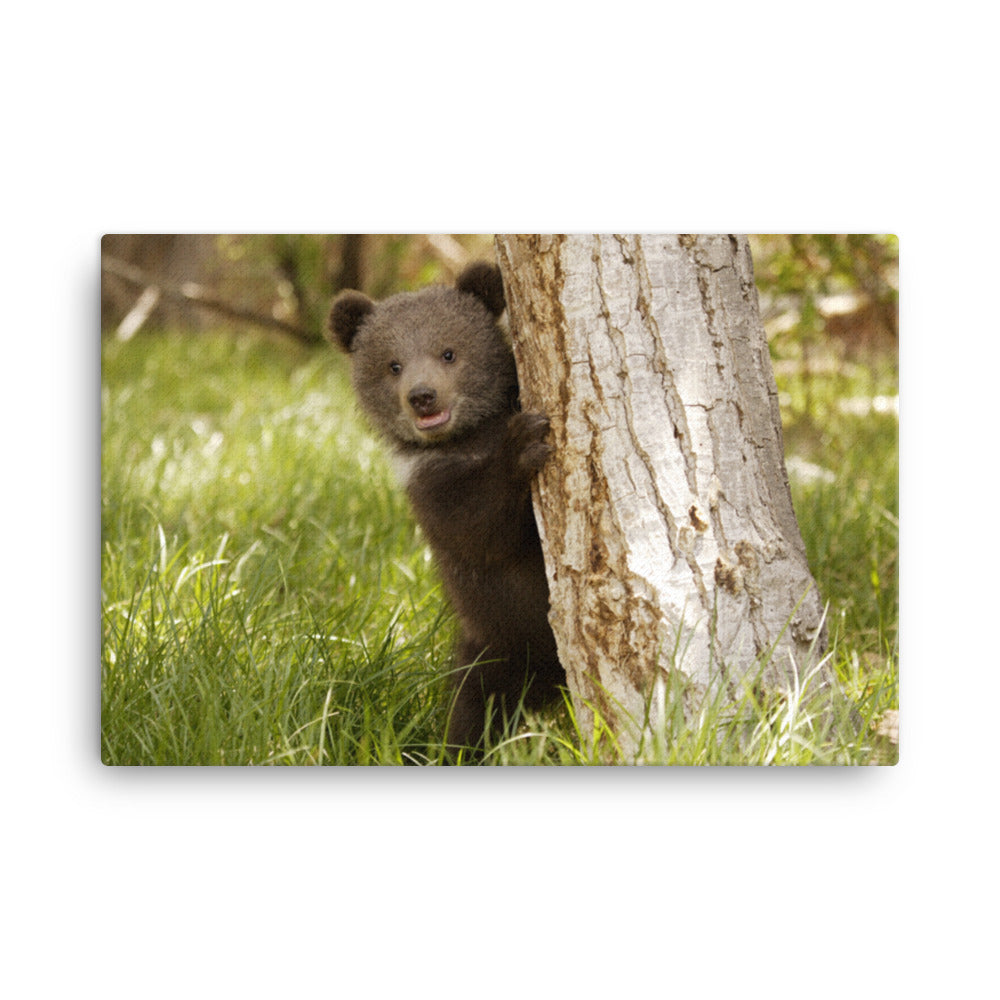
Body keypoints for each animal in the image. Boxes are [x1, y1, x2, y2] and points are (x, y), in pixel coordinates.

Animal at [327, 261, 564, 755]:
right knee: (475, 710)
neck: (468, 437)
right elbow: (479, 527)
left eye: (449, 352)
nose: (422, 396)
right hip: (496, 645)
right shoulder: (430, 486)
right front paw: (524, 443)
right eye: (393, 365)